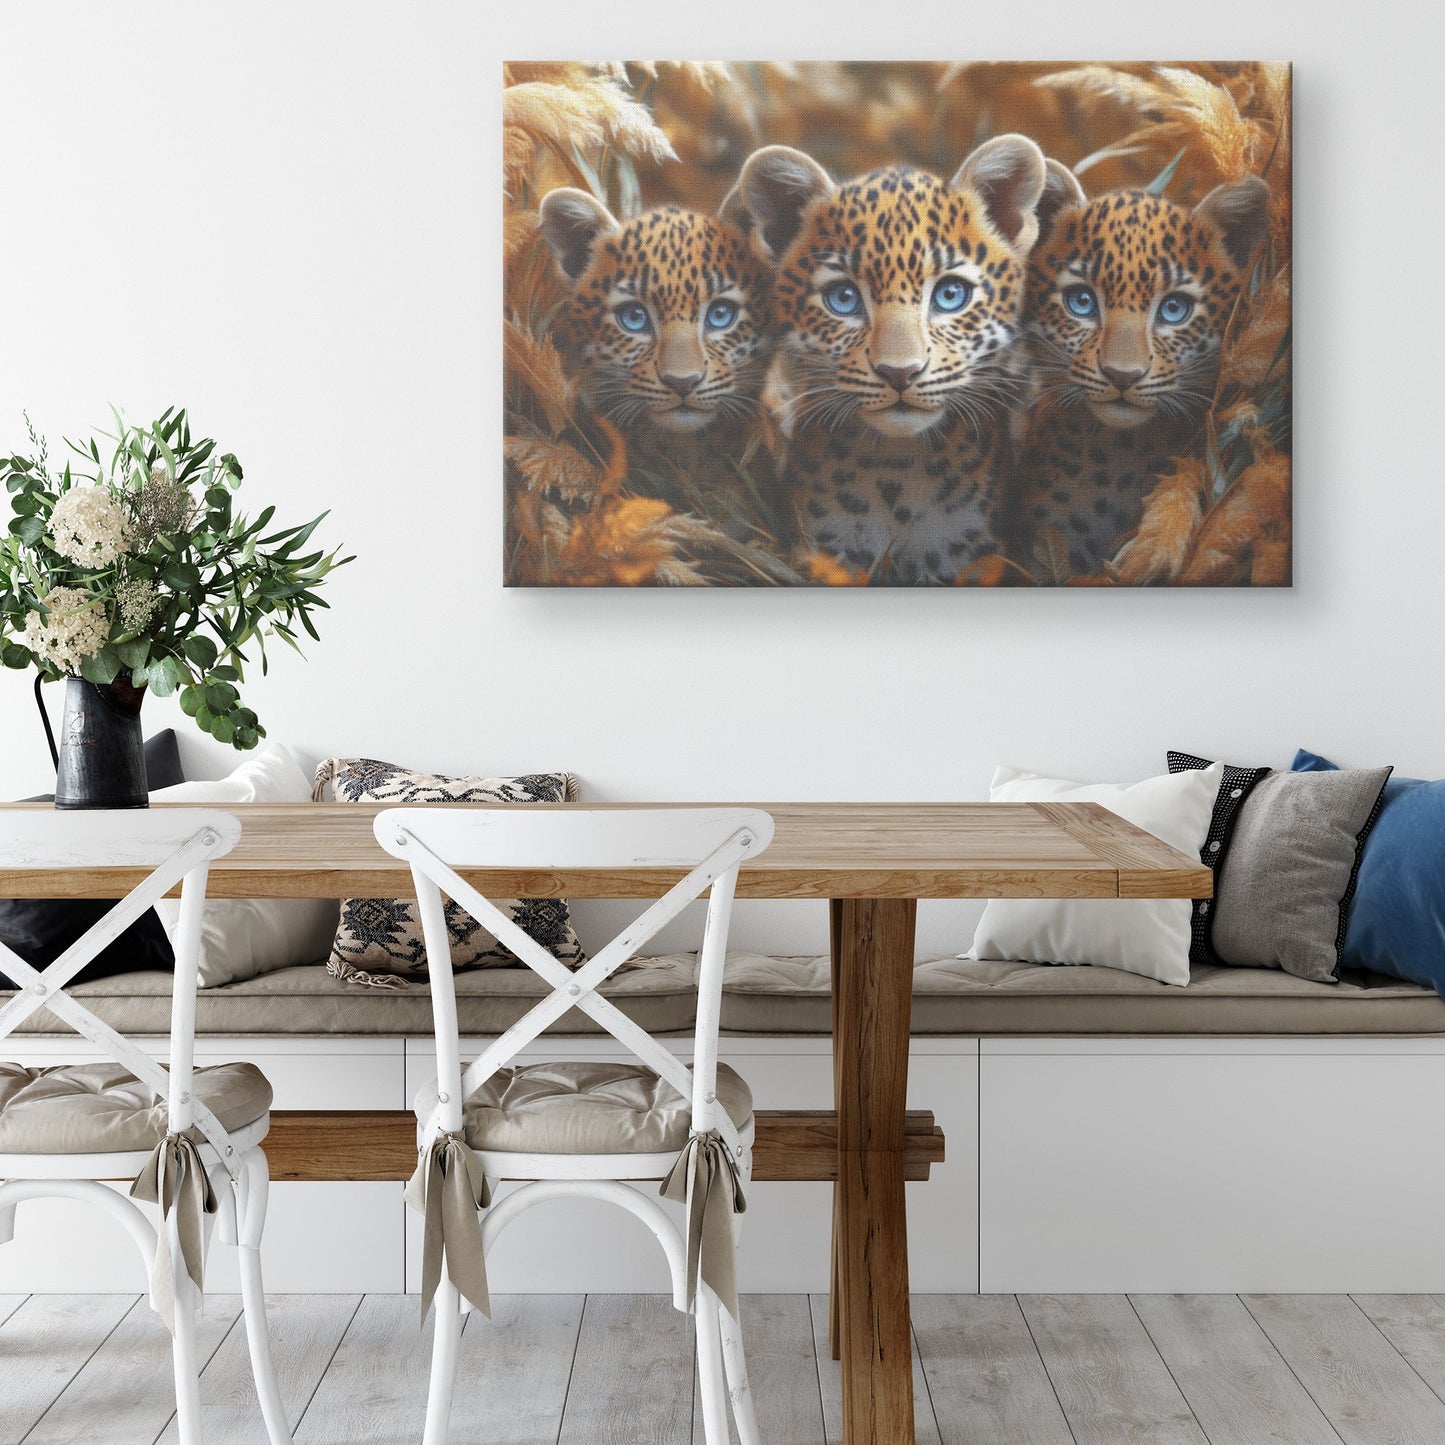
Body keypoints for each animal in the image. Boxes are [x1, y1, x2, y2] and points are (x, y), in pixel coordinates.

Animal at [730, 134, 1048, 584]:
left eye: (951, 294)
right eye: (843, 298)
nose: (900, 373)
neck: (898, 472)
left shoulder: (975, 561)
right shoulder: (828, 554)